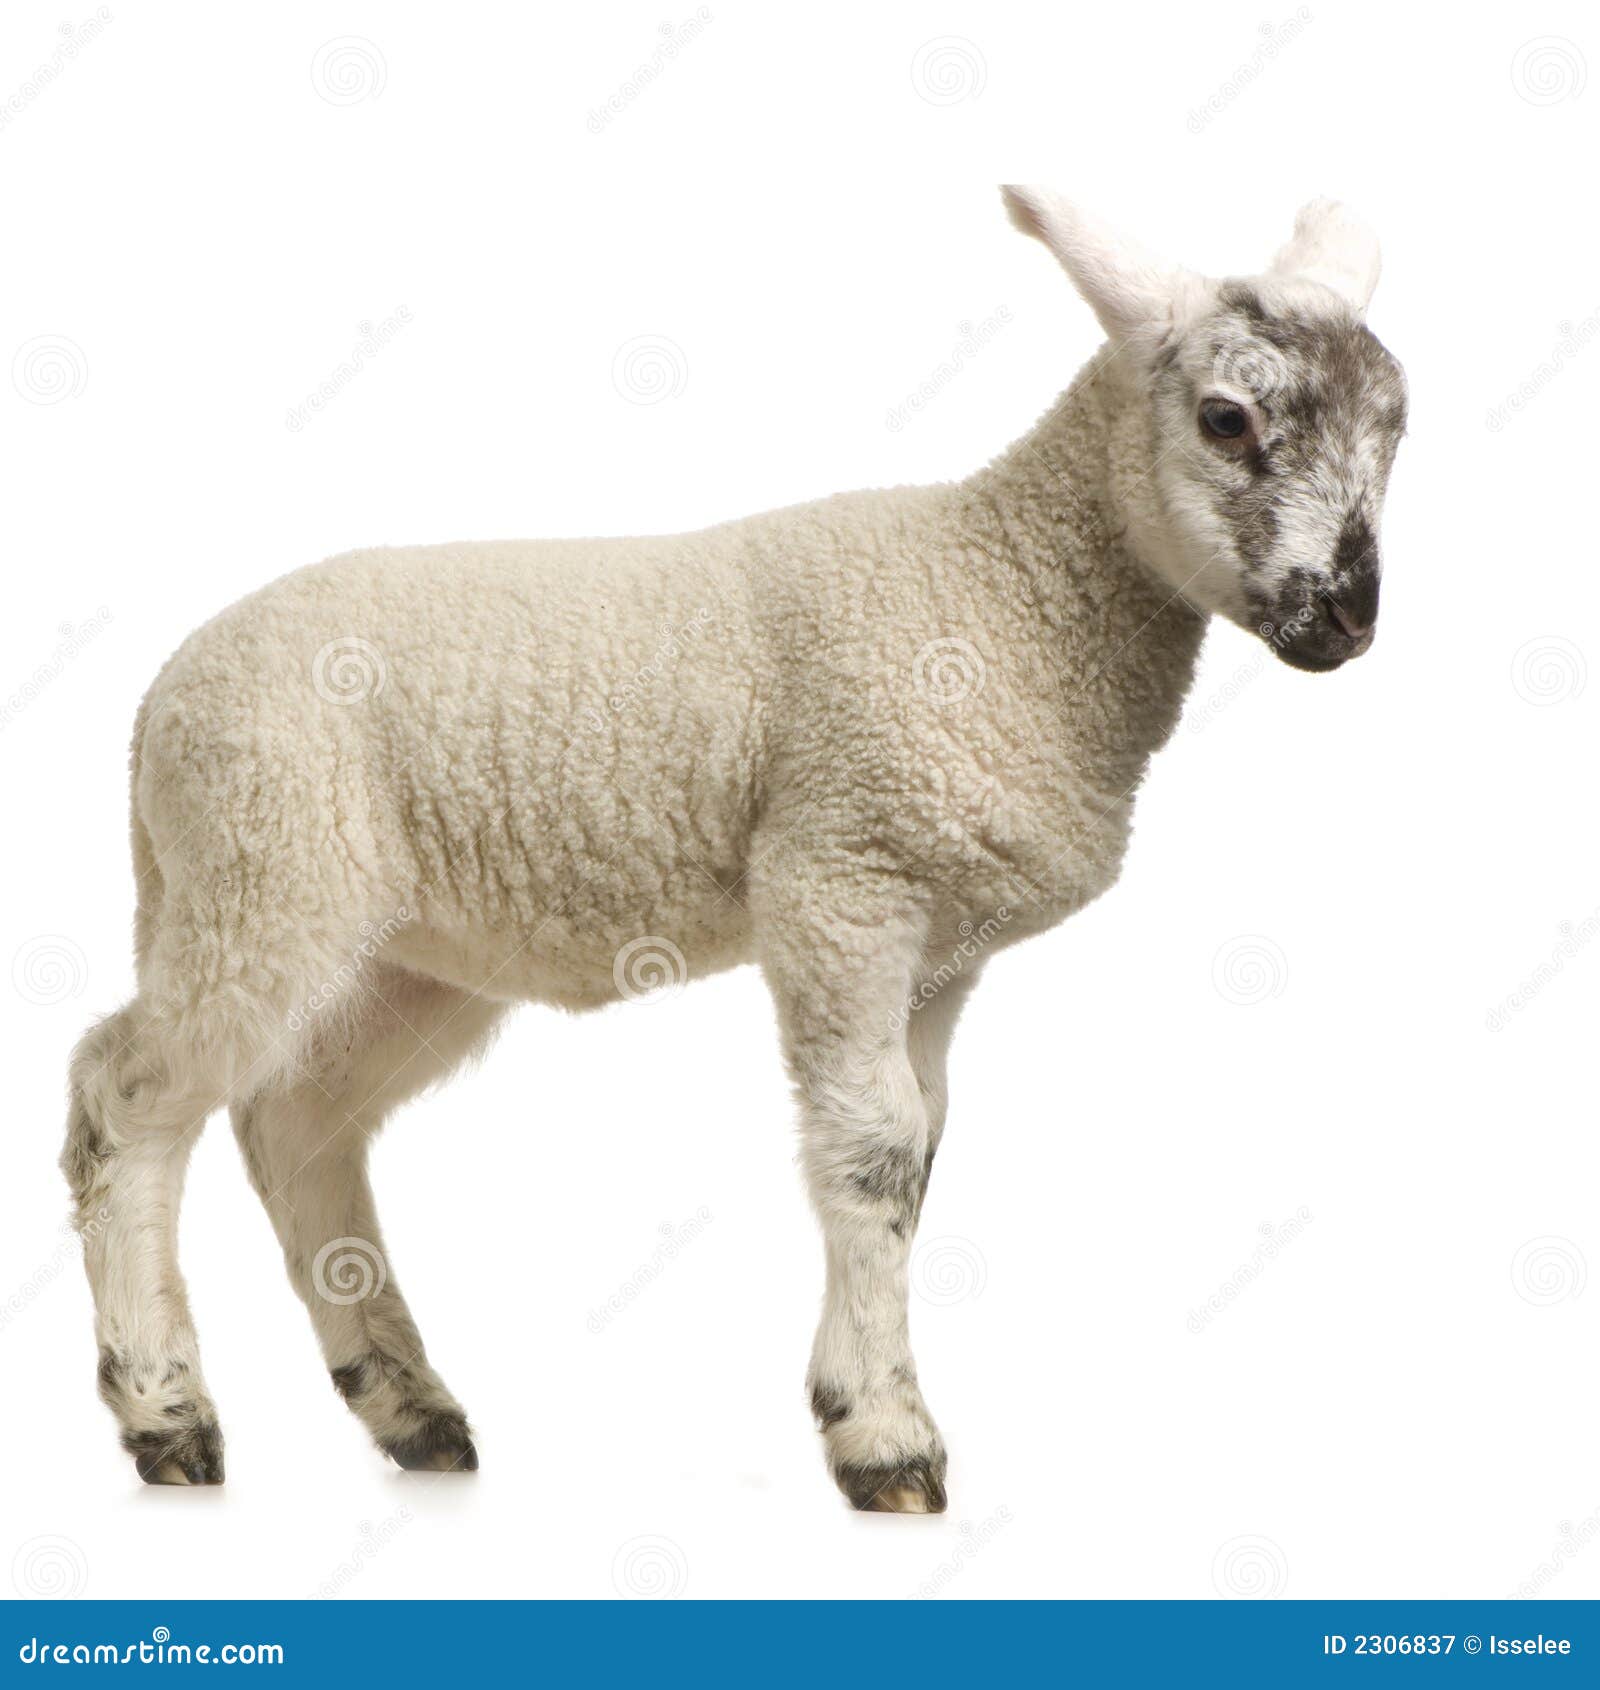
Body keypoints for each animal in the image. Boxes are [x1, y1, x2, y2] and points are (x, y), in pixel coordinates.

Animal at [63, 187, 1406, 1510]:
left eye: (1396, 425)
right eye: (1225, 418)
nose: (1346, 615)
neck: (1002, 586)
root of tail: (156, 705)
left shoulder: (939, 941)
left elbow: (922, 1144)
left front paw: (848, 1390)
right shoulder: (841, 872)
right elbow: (872, 1149)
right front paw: (885, 1437)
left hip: (401, 946)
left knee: (296, 1126)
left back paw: (409, 1408)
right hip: (262, 863)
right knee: (126, 1099)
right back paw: (166, 1413)